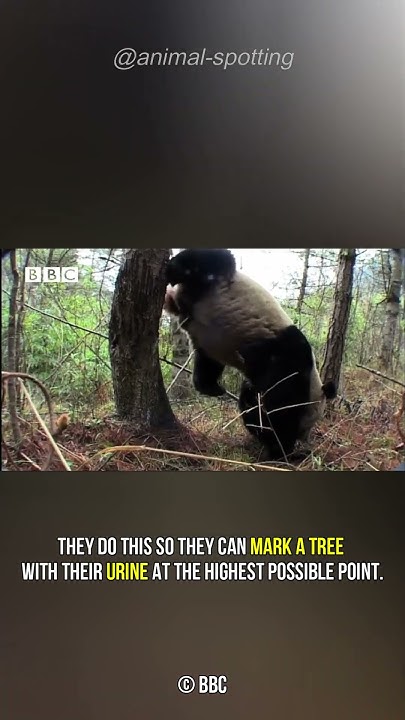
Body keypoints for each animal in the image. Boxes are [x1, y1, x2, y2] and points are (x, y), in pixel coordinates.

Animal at [164, 248, 336, 459]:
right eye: (313, 420)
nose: (305, 437)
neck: (312, 377)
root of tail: (178, 300)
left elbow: (252, 403)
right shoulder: (288, 363)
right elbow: (279, 408)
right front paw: (284, 449)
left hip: (209, 340)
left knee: (208, 361)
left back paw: (211, 387)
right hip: (215, 282)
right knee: (214, 259)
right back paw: (174, 269)